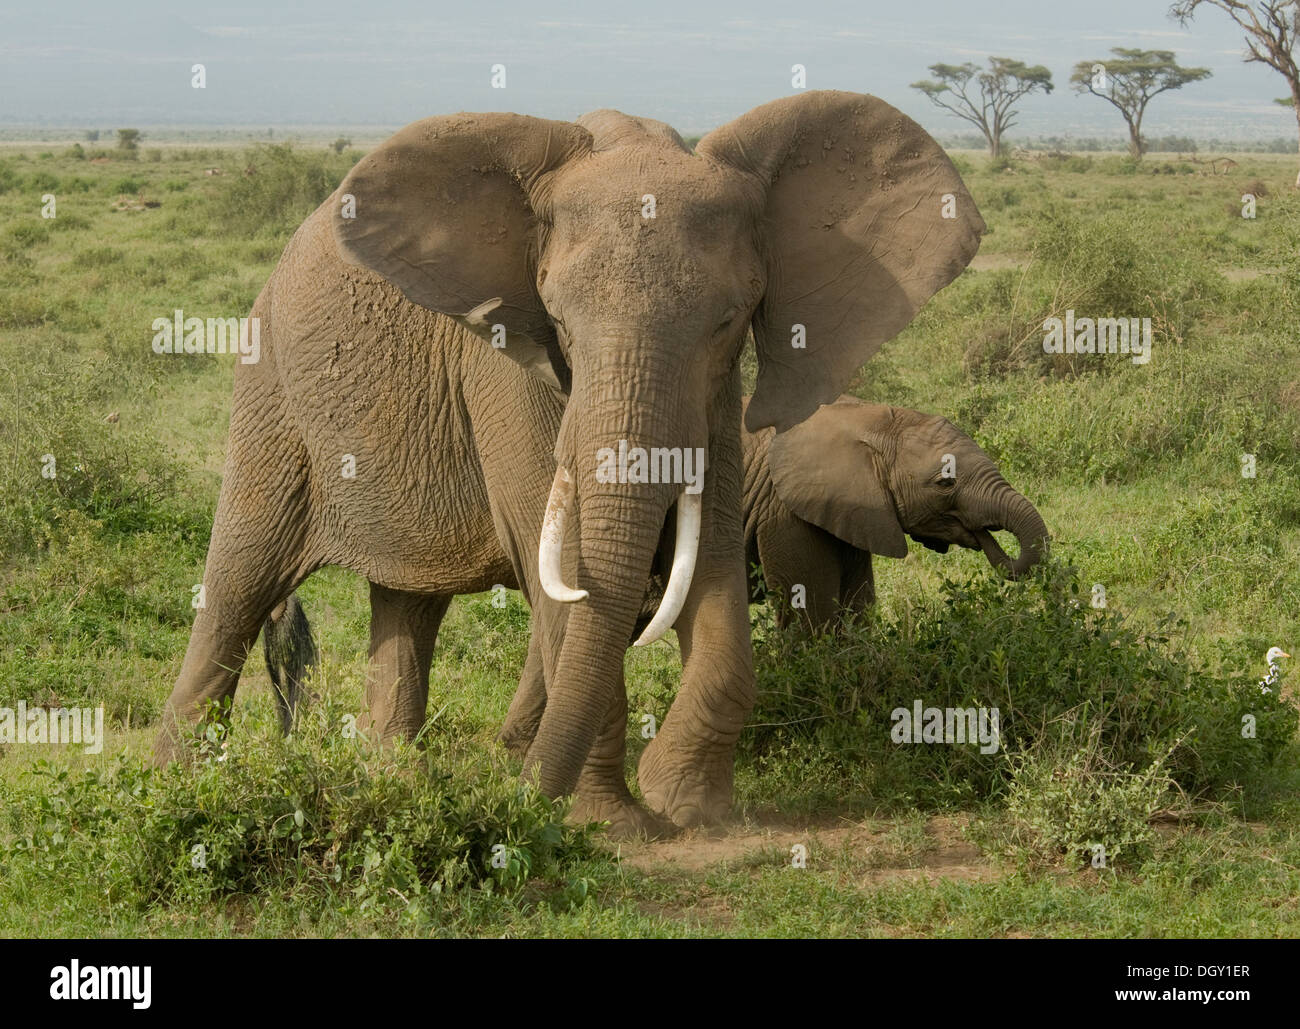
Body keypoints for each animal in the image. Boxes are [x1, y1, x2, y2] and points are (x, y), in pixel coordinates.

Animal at [153, 90, 985, 834]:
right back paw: (179, 787)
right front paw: (611, 823)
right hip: (270, 395)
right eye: (558, 317)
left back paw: (389, 780)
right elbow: (565, 570)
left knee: (409, 602)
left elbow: (711, 553)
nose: (518, 797)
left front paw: (688, 807)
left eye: (729, 320)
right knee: (240, 582)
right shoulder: (503, 365)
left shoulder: (716, 397)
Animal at [740, 395, 1049, 629]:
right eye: (945, 483)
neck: (862, 417)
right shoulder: (784, 515)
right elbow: (810, 615)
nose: (982, 533)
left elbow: (858, 605)